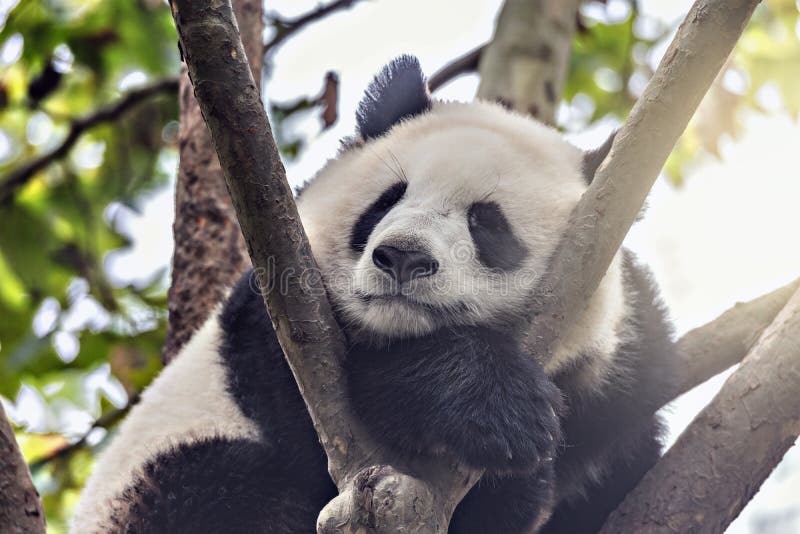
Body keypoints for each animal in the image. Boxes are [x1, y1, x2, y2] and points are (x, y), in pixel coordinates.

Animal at [72, 56, 677, 534]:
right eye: (387, 200)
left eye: (487, 223)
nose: (403, 256)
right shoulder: (276, 316)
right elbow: (317, 410)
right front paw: (494, 409)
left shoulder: (619, 377)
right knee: (224, 490)